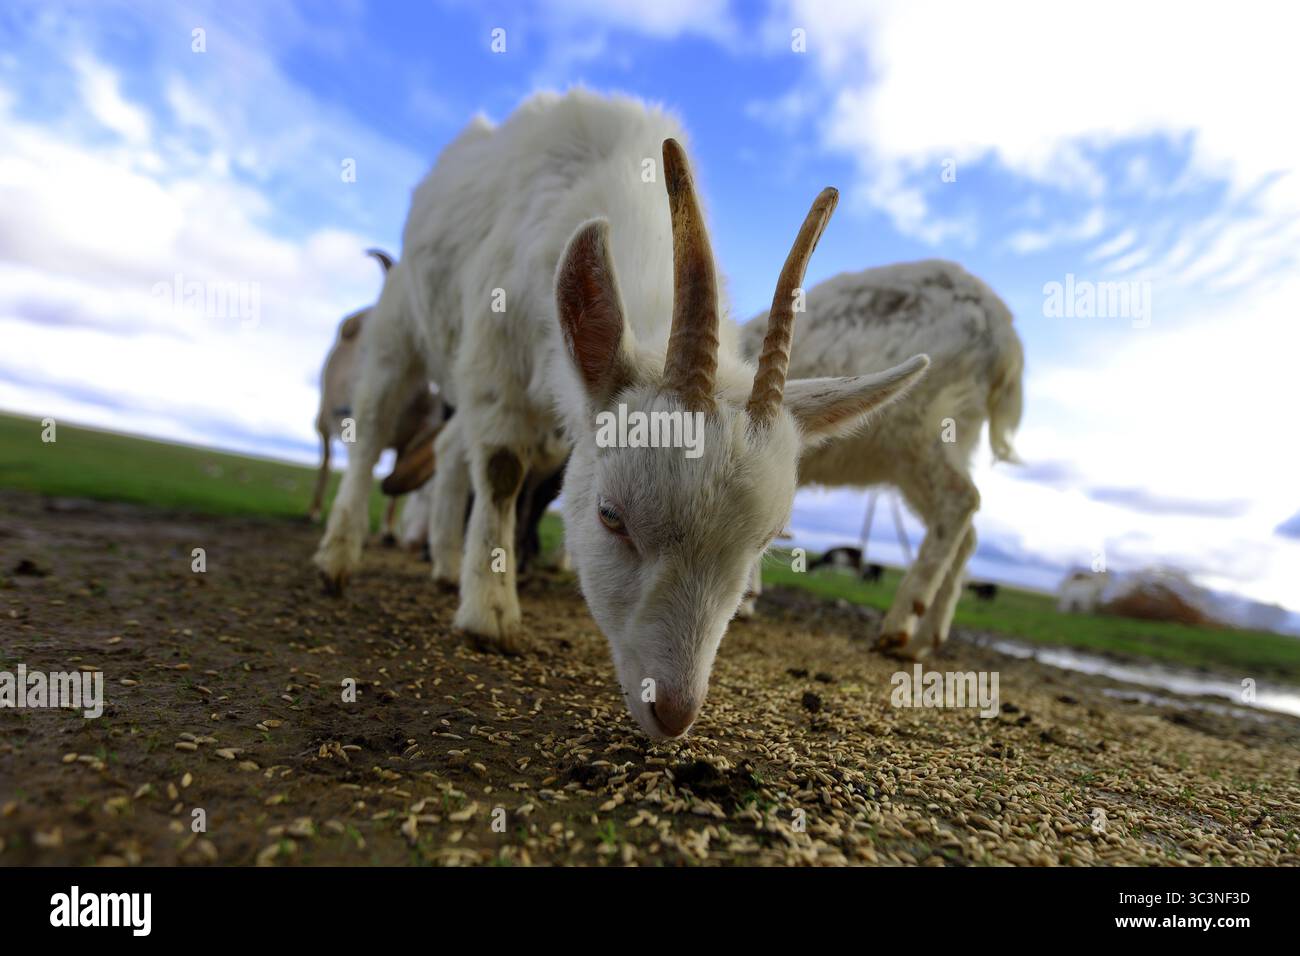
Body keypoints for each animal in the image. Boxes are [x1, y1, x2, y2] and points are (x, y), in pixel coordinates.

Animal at [738, 260, 1023, 658]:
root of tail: (1003, 334)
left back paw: (899, 625)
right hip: (945, 437)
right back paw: (924, 639)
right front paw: (747, 599)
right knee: (967, 532)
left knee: (960, 499)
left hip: (919, 425)